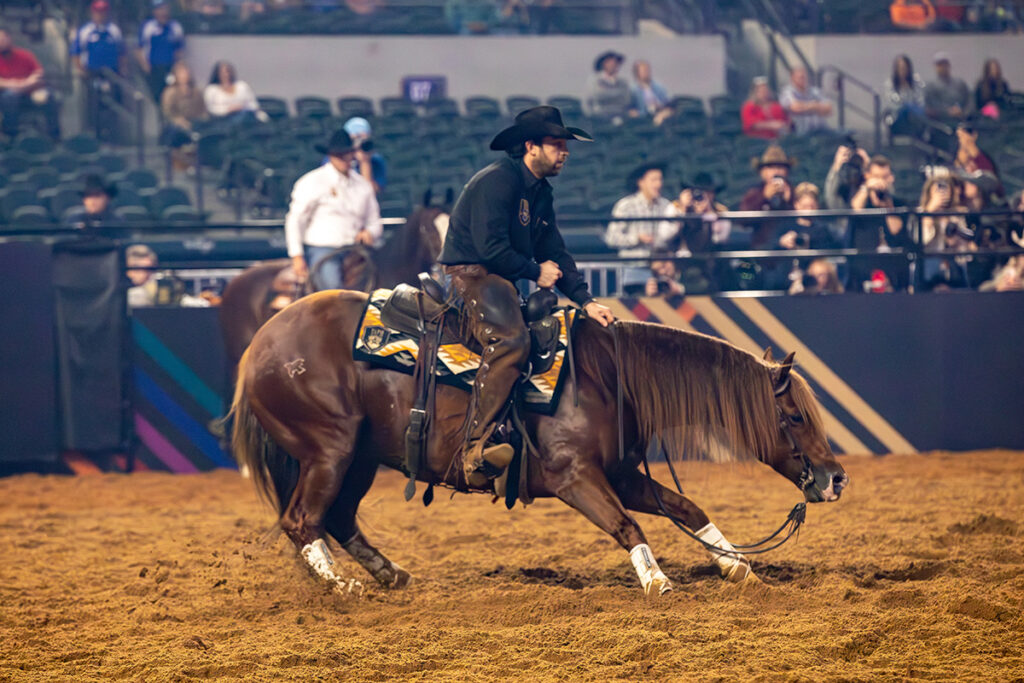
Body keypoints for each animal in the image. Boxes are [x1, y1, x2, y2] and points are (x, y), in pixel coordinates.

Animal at [229, 288, 849, 597]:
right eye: (794, 416)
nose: (835, 477)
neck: (604, 375)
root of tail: (260, 343)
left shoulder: (621, 474)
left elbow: (687, 508)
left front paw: (737, 567)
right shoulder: (575, 478)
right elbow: (628, 526)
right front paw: (657, 581)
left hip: (360, 456)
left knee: (336, 518)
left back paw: (389, 574)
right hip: (329, 450)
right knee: (302, 520)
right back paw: (341, 586)